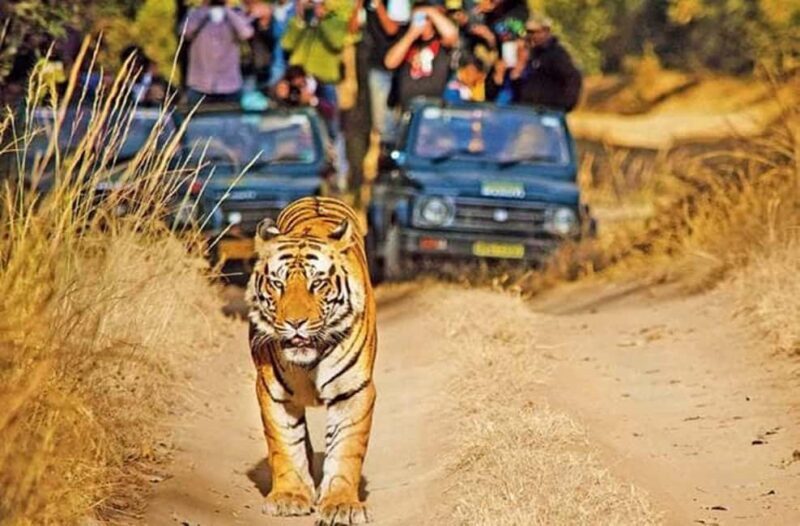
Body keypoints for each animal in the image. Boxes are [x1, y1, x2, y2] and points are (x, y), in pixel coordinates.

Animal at [246, 196, 377, 526]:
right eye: (277, 284)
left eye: (317, 283)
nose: (295, 323)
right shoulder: (272, 392)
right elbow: (285, 444)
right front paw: (290, 497)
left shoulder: (354, 391)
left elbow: (345, 449)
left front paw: (341, 505)